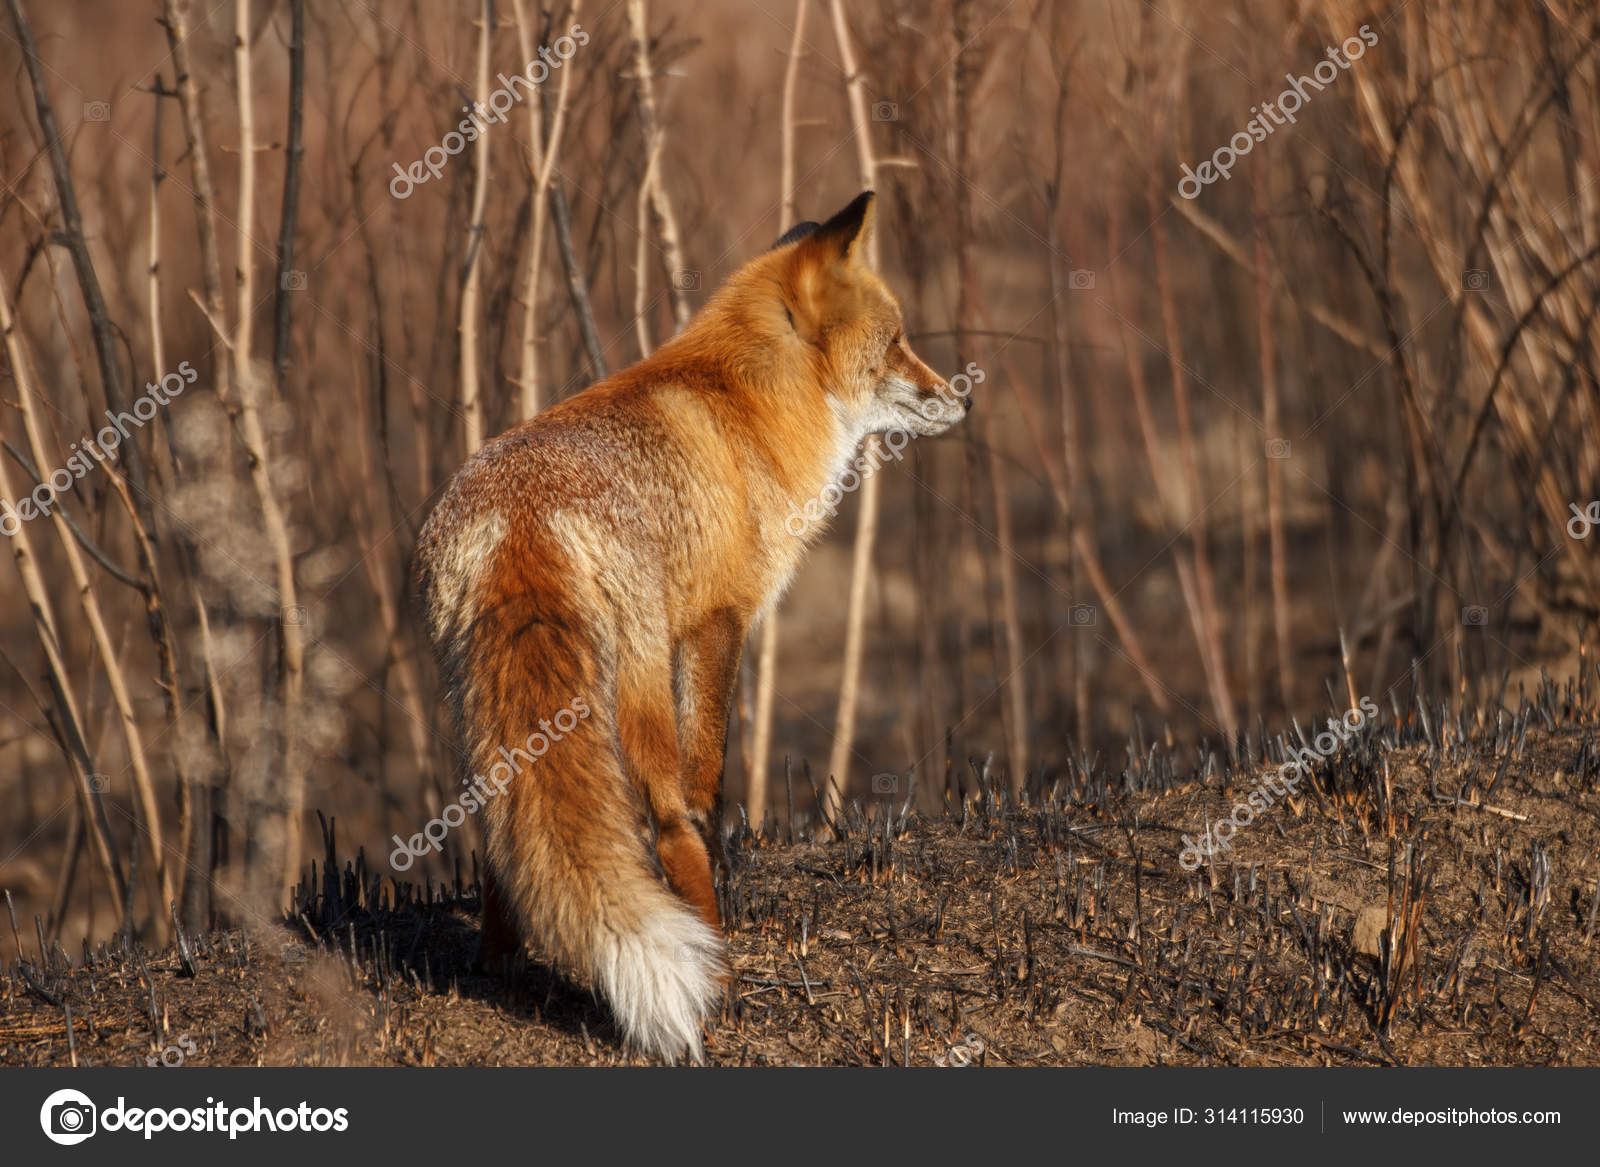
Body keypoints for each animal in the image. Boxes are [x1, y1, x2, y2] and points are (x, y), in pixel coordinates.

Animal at [414, 191, 969, 1063]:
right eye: (897, 341)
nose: (962, 395)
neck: (747, 406)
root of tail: (523, 513)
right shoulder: (718, 621)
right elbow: (708, 791)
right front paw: (720, 916)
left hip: (473, 697)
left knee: (502, 828)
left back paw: (501, 961)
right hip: (636, 672)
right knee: (668, 816)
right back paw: (715, 973)